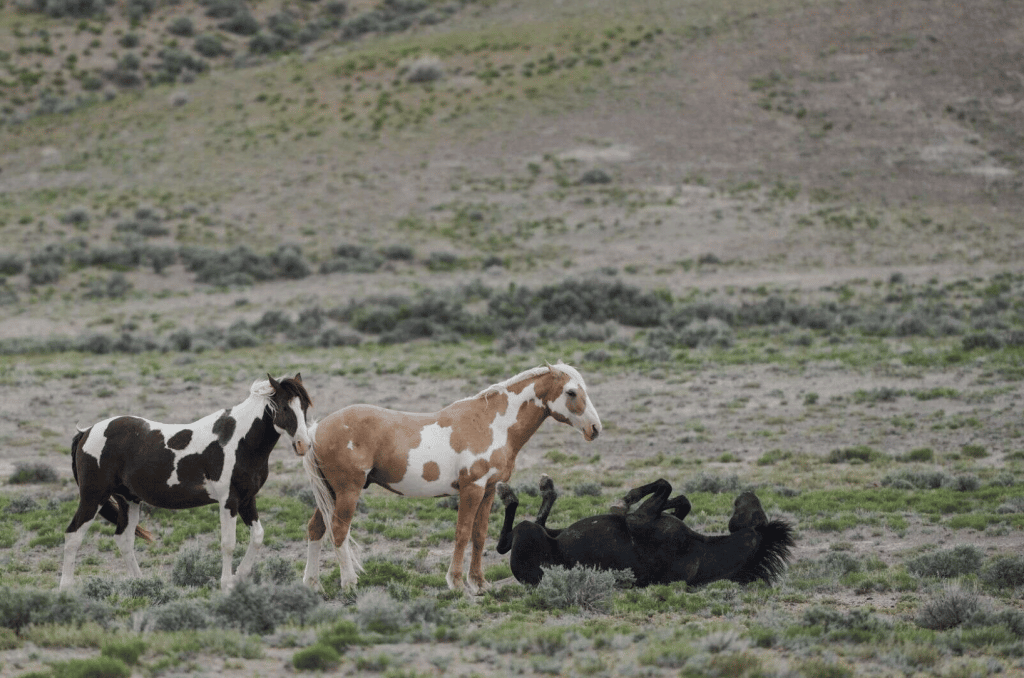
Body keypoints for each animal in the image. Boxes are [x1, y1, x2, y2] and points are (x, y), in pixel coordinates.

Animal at [61, 374, 314, 591]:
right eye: (284, 407)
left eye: (304, 407)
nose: (304, 444)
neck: (239, 441)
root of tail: (86, 432)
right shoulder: (229, 501)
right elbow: (228, 543)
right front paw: (226, 585)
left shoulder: (246, 499)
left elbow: (258, 536)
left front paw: (239, 577)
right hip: (93, 497)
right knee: (73, 536)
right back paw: (66, 590)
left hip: (128, 500)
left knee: (124, 540)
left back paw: (140, 584)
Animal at [300, 362, 602, 594]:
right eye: (571, 391)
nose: (595, 429)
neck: (492, 424)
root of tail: (317, 429)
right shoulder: (472, 489)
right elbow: (462, 533)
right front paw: (456, 583)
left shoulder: (489, 489)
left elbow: (479, 535)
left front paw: (479, 584)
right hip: (348, 492)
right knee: (339, 532)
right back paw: (350, 584)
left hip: (331, 493)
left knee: (316, 529)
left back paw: (313, 585)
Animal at [495, 476, 794, 588]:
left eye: (758, 516)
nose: (747, 495)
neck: (702, 551)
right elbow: (681, 499)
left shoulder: (640, 521)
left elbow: (664, 486)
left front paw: (623, 501)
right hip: (546, 532)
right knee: (540, 521)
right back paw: (546, 487)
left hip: (527, 534)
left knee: (506, 539)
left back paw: (511, 492)